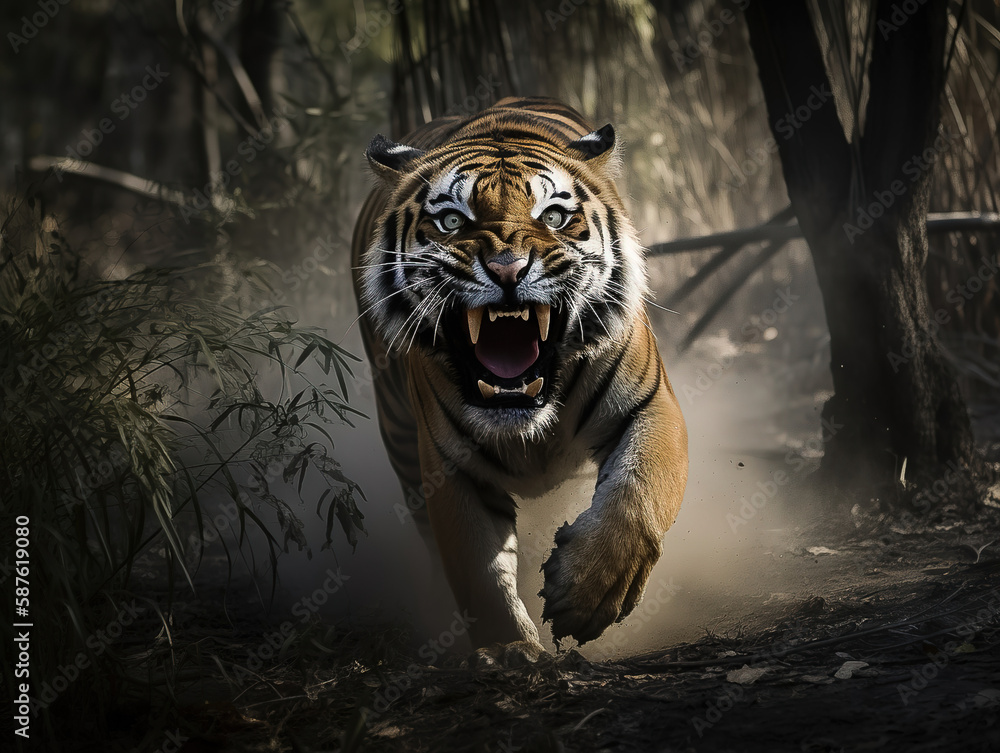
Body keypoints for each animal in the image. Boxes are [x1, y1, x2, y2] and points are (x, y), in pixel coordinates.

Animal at [351, 96, 687, 659]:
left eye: (553, 216)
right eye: (450, 220)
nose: (508, 269)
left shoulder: (649, 405)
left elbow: (638, 495)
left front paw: (588, 592)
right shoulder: (448, 466)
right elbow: (478, 577)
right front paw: (512, 654)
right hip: (398, 434)